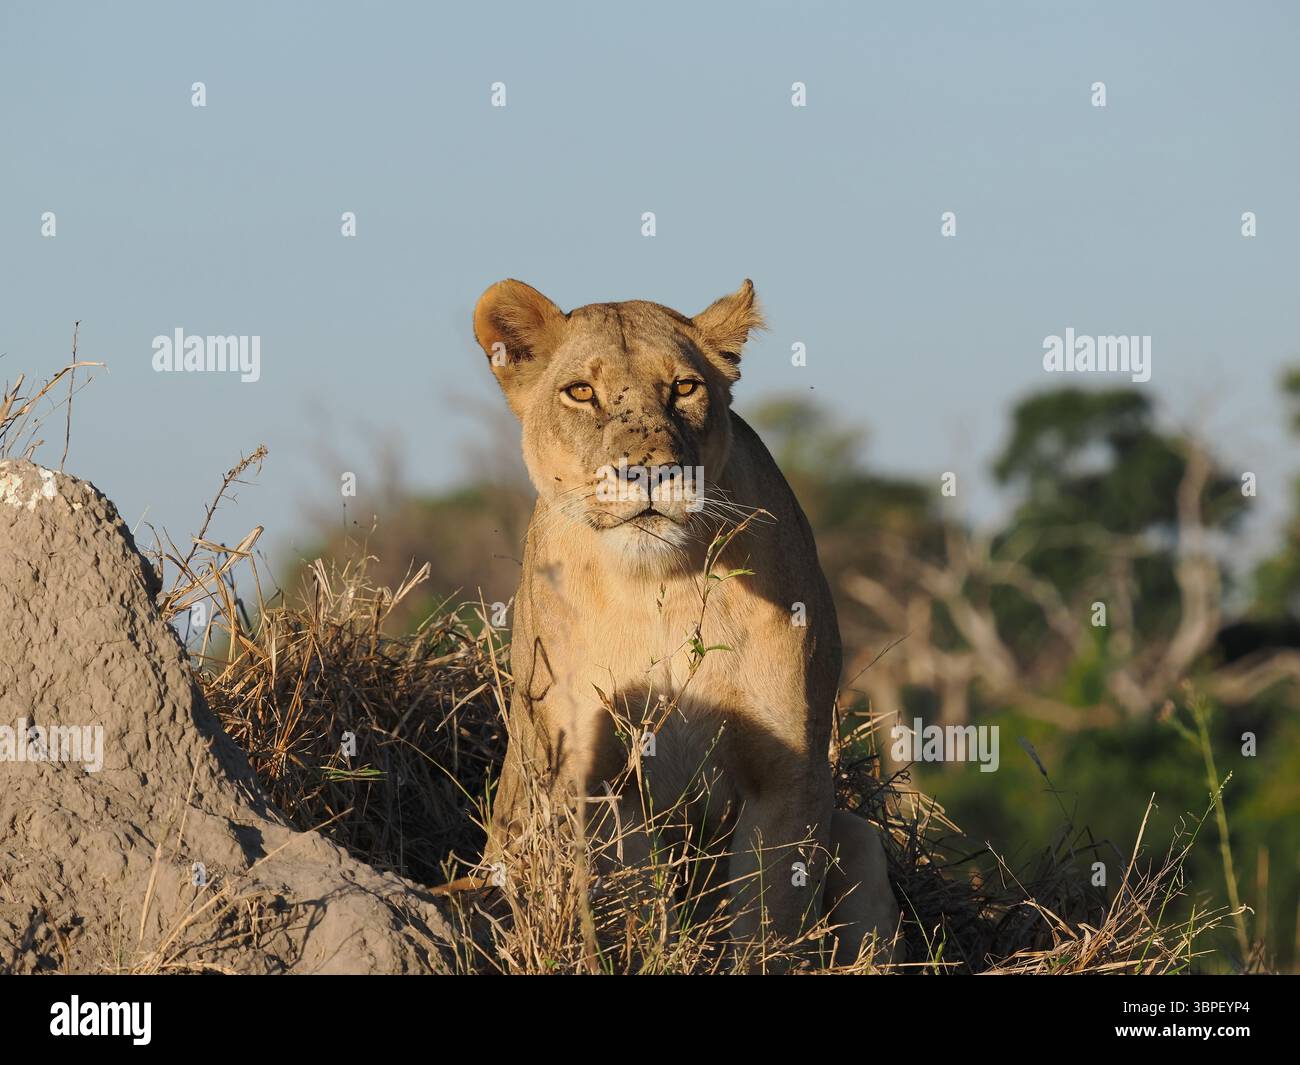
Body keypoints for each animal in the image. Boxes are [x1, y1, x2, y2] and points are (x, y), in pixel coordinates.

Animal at [473, 278, 900, 967]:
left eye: (684, 387)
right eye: (581, 392)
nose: (649, 471)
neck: (659, 587)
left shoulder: (789, 773)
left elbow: (770, 917)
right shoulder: (595, 779)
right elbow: (635, 908)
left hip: (857, 834)